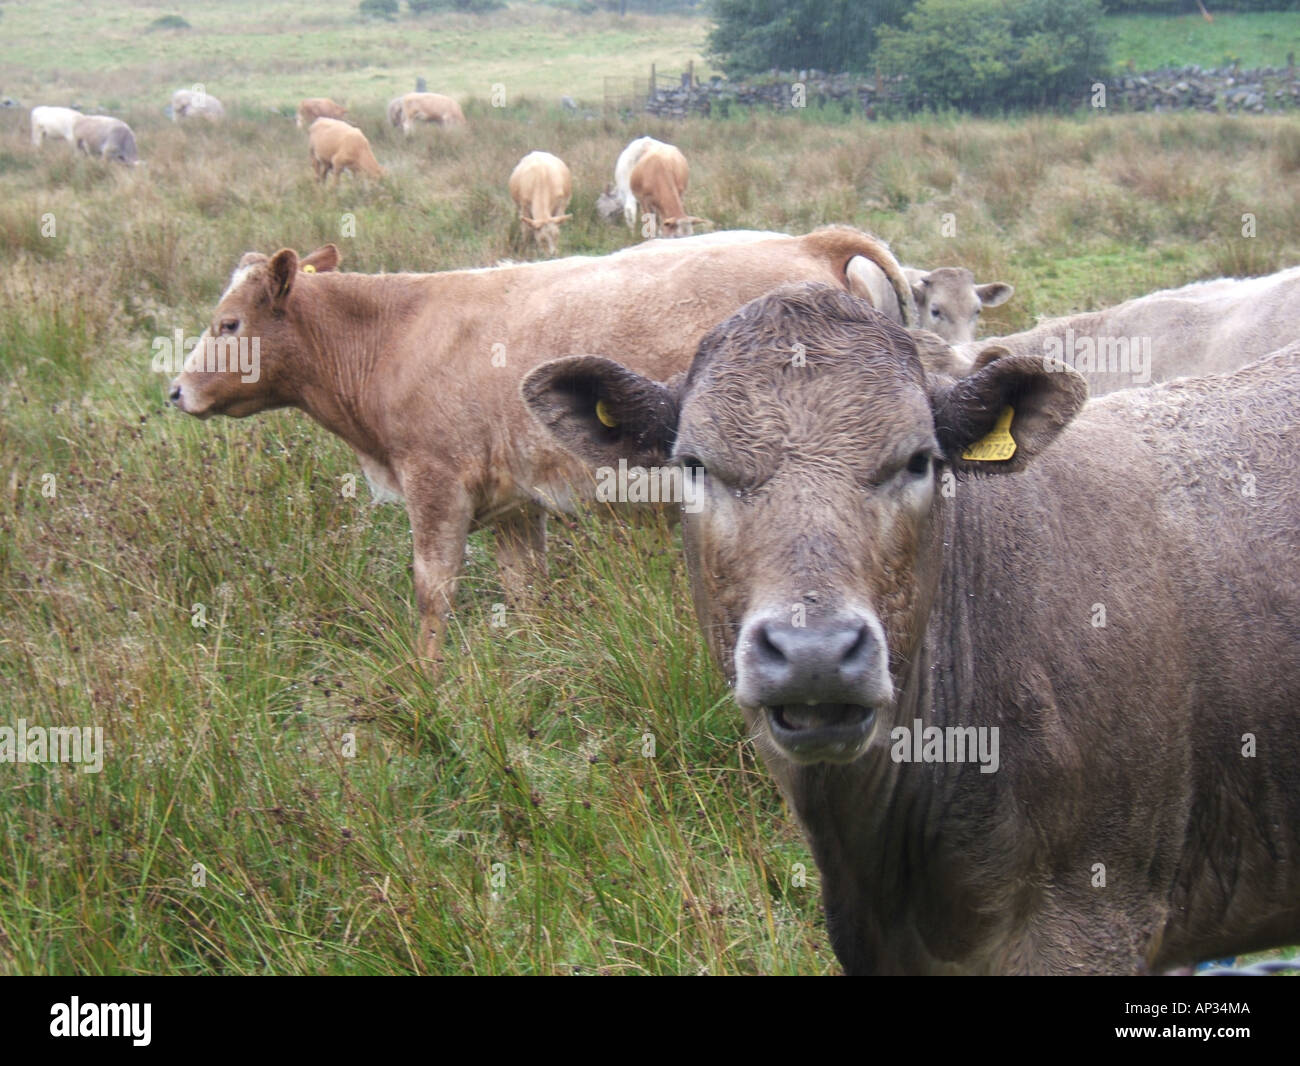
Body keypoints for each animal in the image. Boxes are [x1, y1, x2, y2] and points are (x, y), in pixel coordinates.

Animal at [167, 230, 913, 667]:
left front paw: (425, 675)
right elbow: (525, 591)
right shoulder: (515, 505)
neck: (393, 334)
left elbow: (433, 589)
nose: (177, 391)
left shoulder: (435, 484)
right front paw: (535, 659)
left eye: (228, 323)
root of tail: (812, 240)